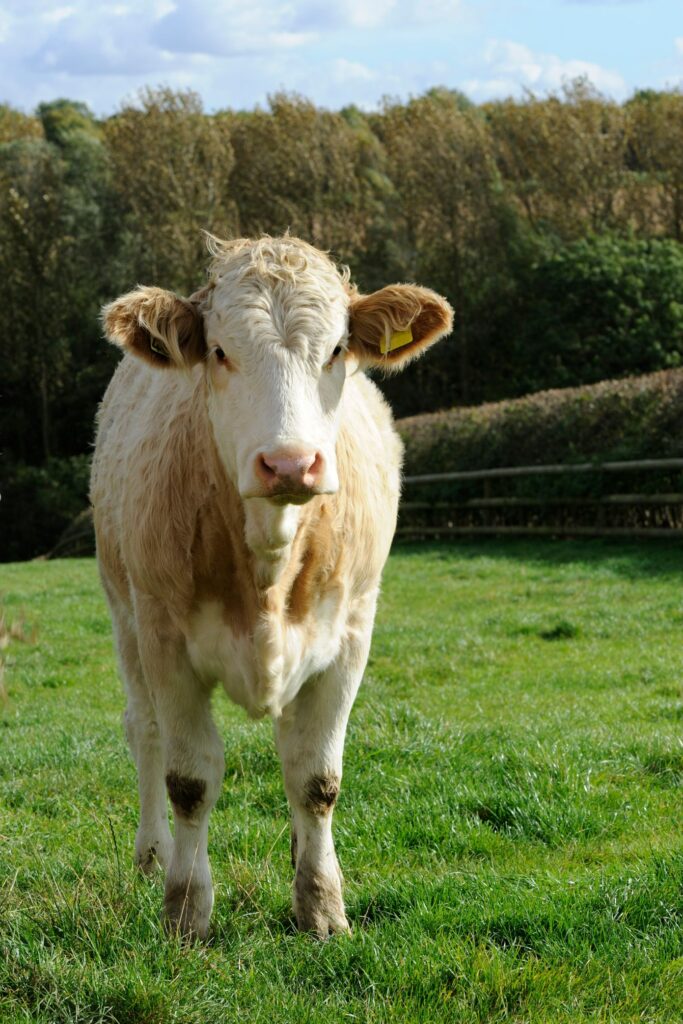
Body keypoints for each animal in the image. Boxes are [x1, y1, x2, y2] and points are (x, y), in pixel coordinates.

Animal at [90, 235, 452, 939]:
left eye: (337, 349)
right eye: (220, 351)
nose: (289, 463)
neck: (268, 562)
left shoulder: (350, 634)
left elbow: (315, 776)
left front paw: (321, 904)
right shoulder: (164, 637)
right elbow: (189, 778)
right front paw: (186, 910)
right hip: (124, 616)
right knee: (144, 731)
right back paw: (152, 853)